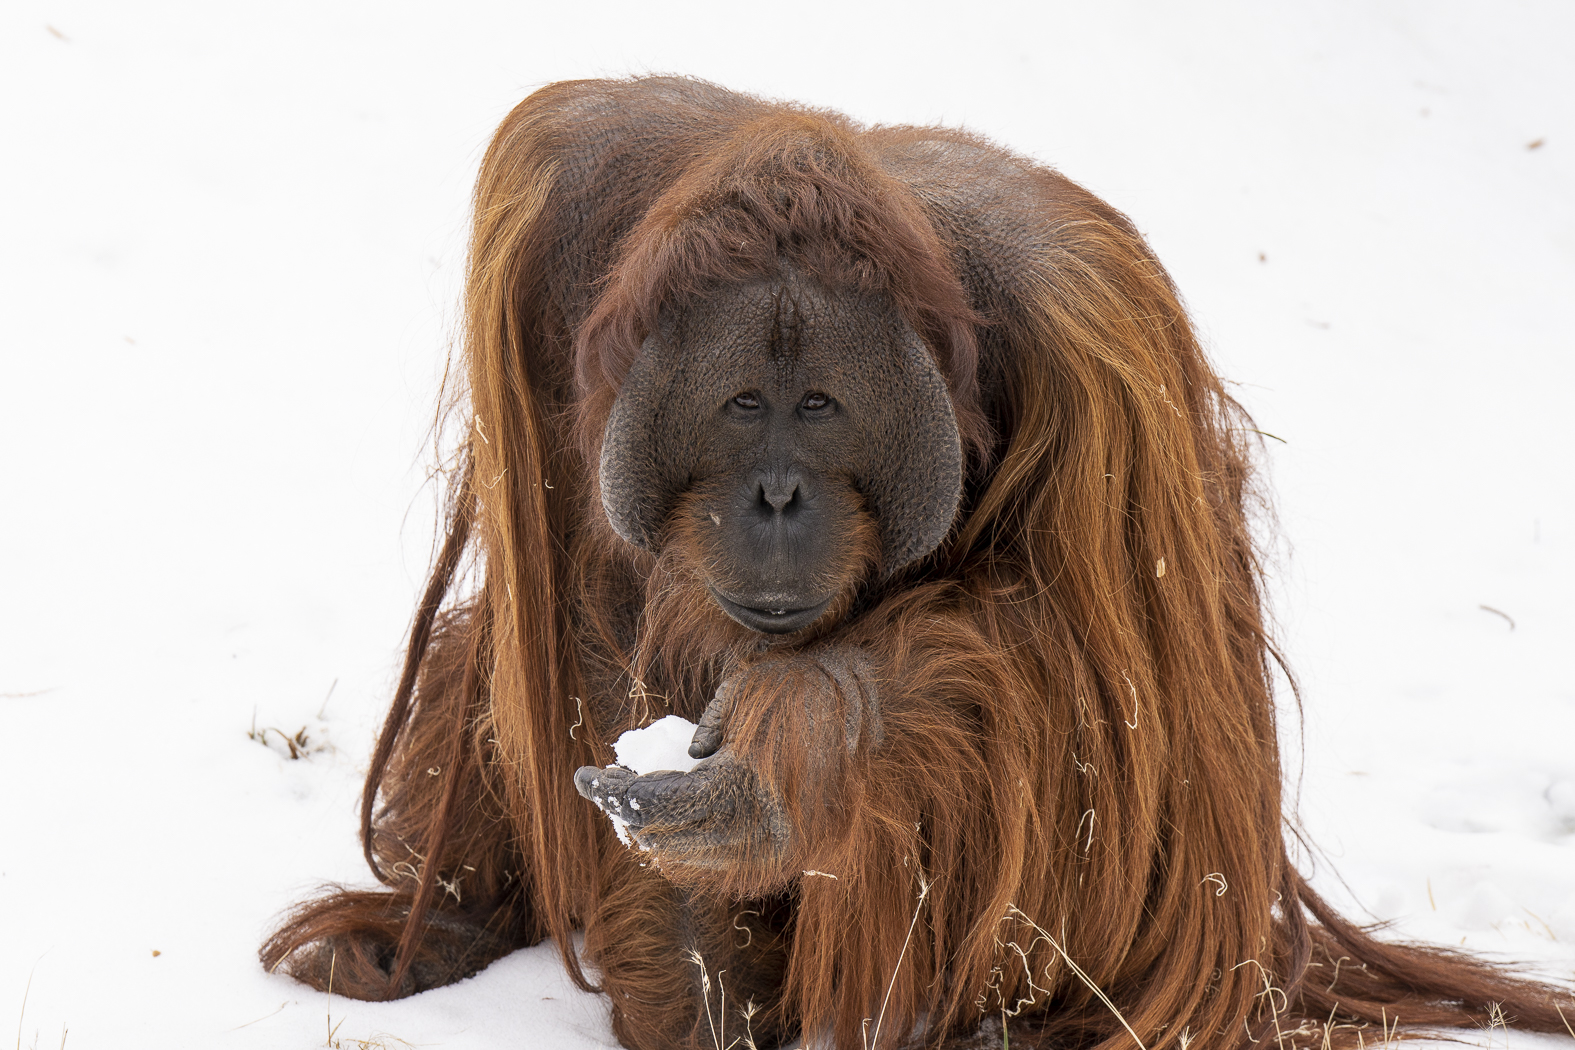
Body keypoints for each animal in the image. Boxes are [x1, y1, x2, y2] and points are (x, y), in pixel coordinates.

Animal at [262, 77, 1575, 1050]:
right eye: (744, 406)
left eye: (822, 408)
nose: (776, 495)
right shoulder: (561, 210)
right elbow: (589, 600)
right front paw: (693, 983)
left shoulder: (1097, 327)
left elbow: (1097, 689)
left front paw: (782, 761)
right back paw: (425, 934)